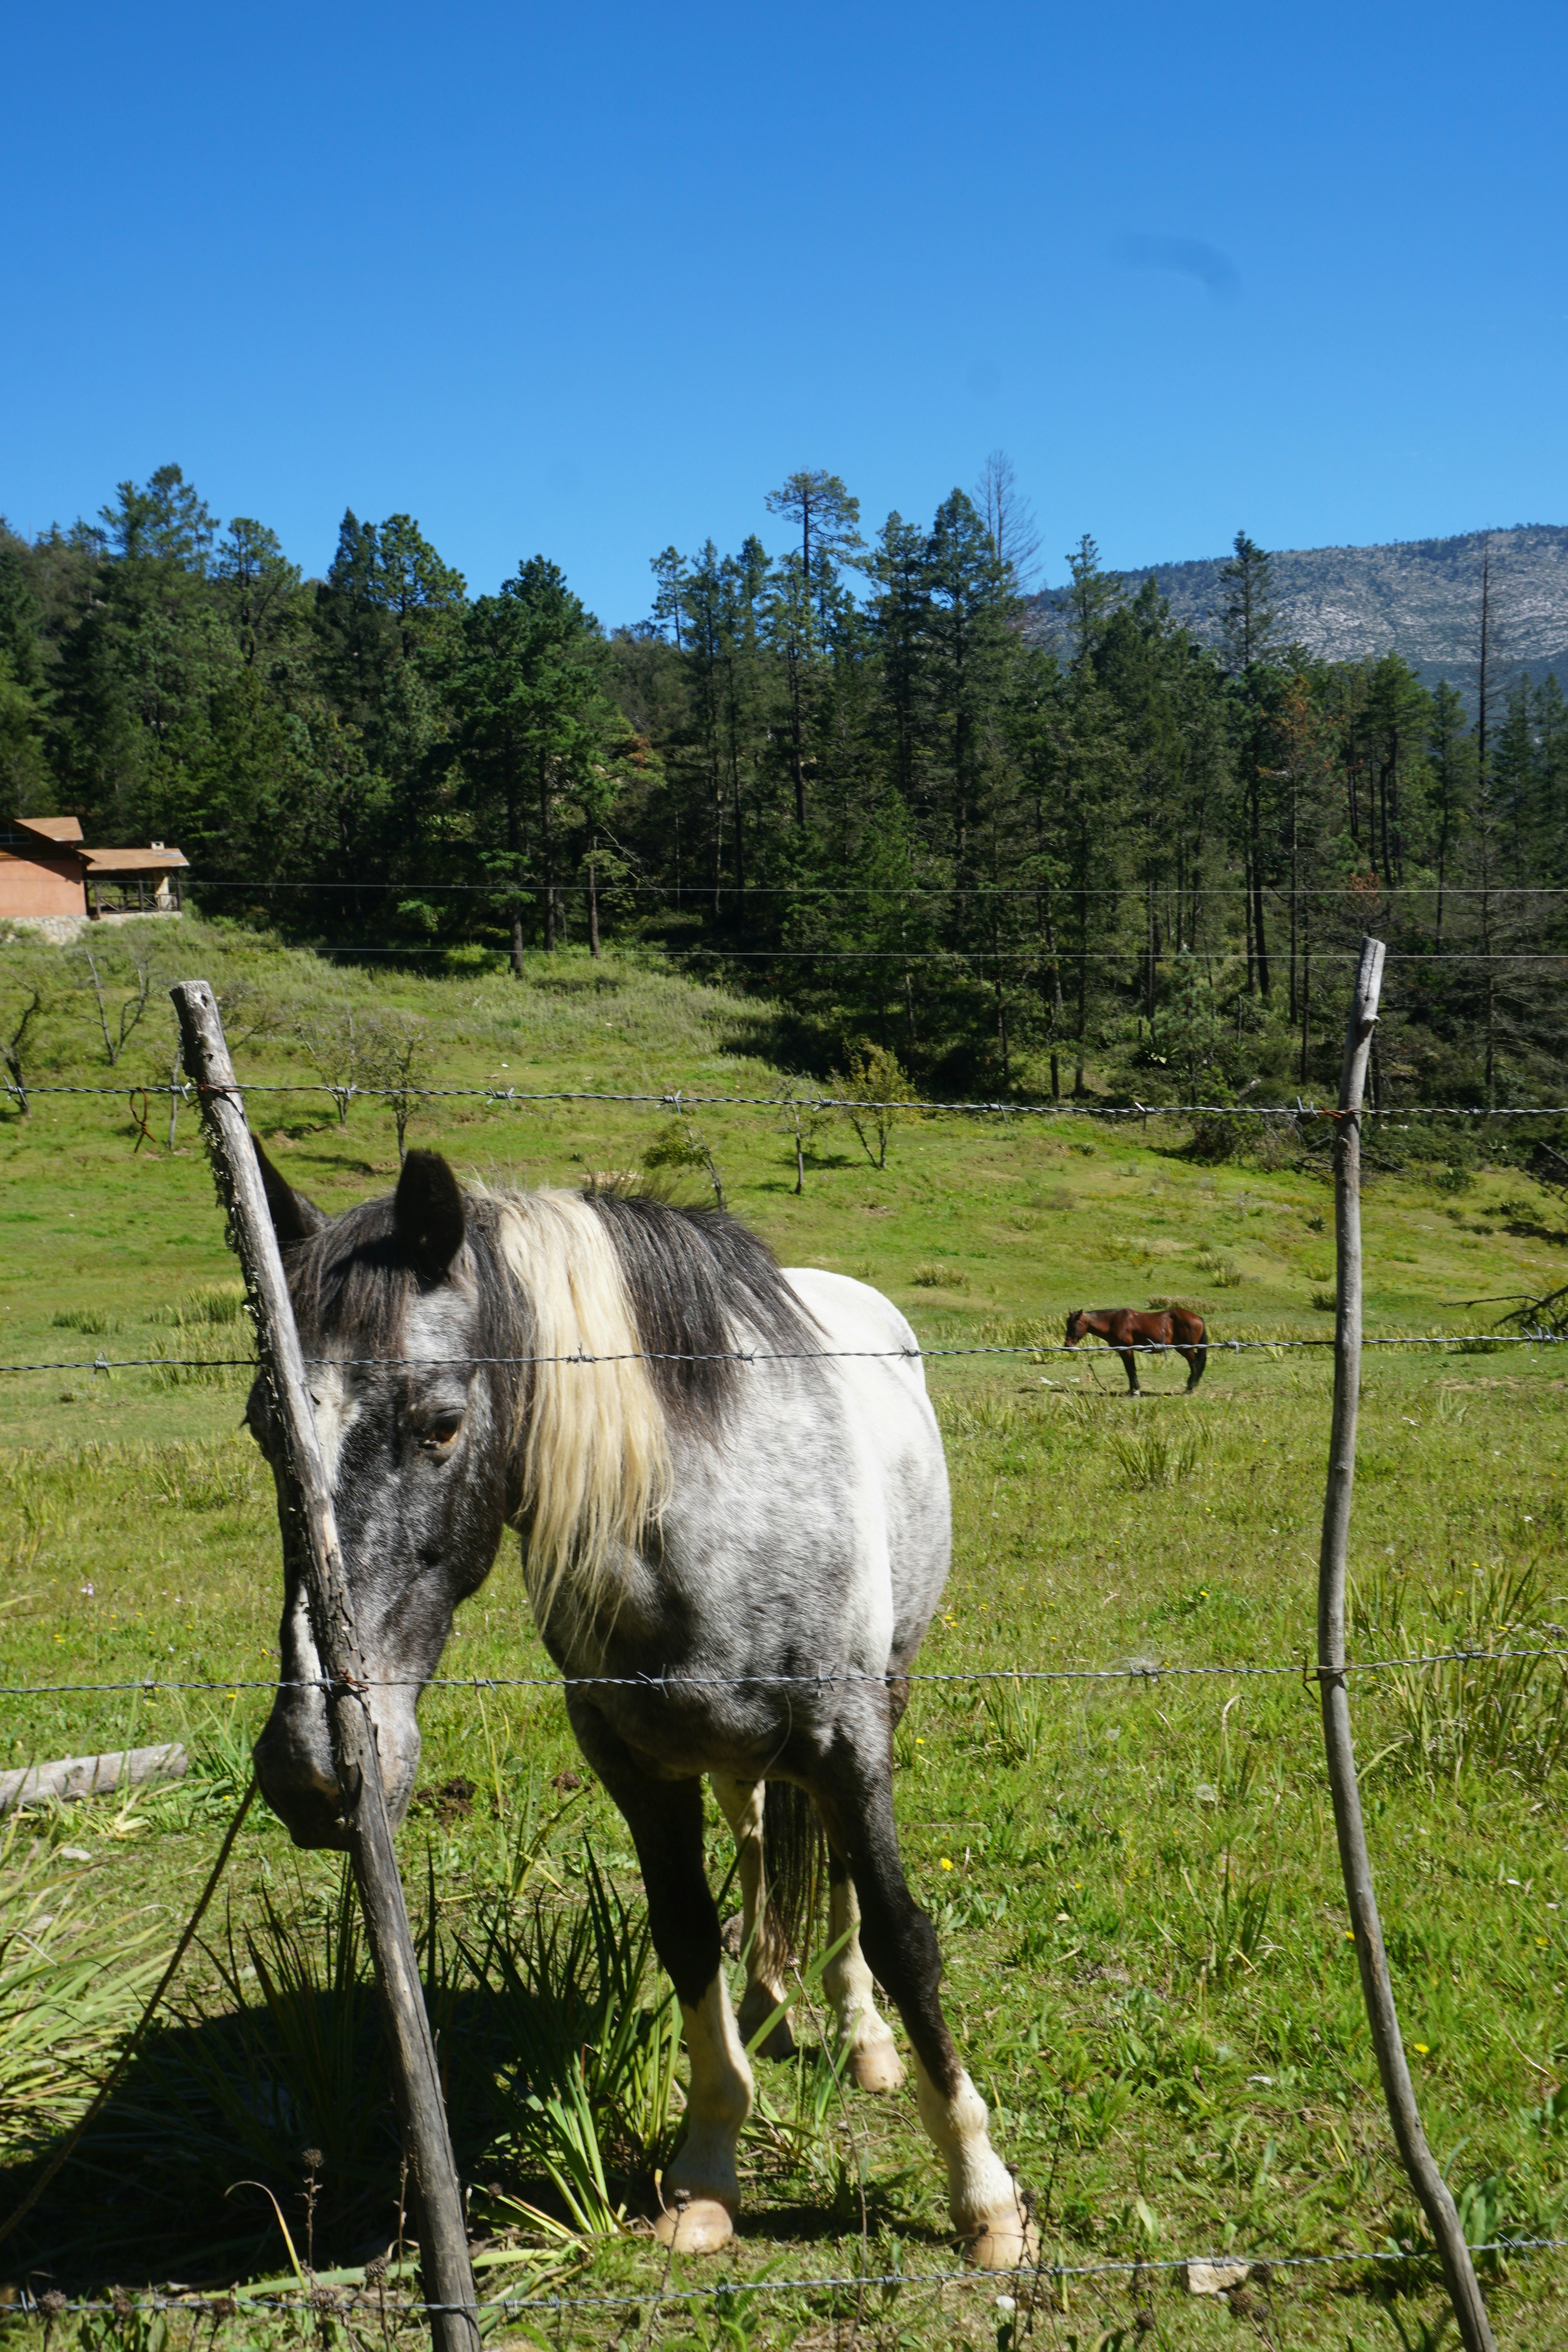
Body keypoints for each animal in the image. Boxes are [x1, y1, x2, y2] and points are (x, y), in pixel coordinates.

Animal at [247, 1146, 1035, 2270]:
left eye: (441, 1423)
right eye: (265, 1427)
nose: (311, 1770)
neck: (701, 1529)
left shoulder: (848, 1744)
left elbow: (902, 1936)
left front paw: (982, 2194)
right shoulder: (635, 1767)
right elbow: (686, 1934)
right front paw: (706, 2170)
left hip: (884, 1700)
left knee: (839, 1879)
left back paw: (860, 2036)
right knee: (756, 1832)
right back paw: (770, 1996)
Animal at [1064, 1304, 1208, 1395]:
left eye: (1074, 1325)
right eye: (1067, 1324)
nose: (1067, 1345)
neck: (1114, 1322)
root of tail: (1198, 1318)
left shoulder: (1128, 1350)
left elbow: (1132, 1370)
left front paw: (1136, 1390)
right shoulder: (1122, 1351)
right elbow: (1129, 1370)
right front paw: (1131, 1389)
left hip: (1186, 1349)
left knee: (1194, 1365)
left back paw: (1189, 1388)